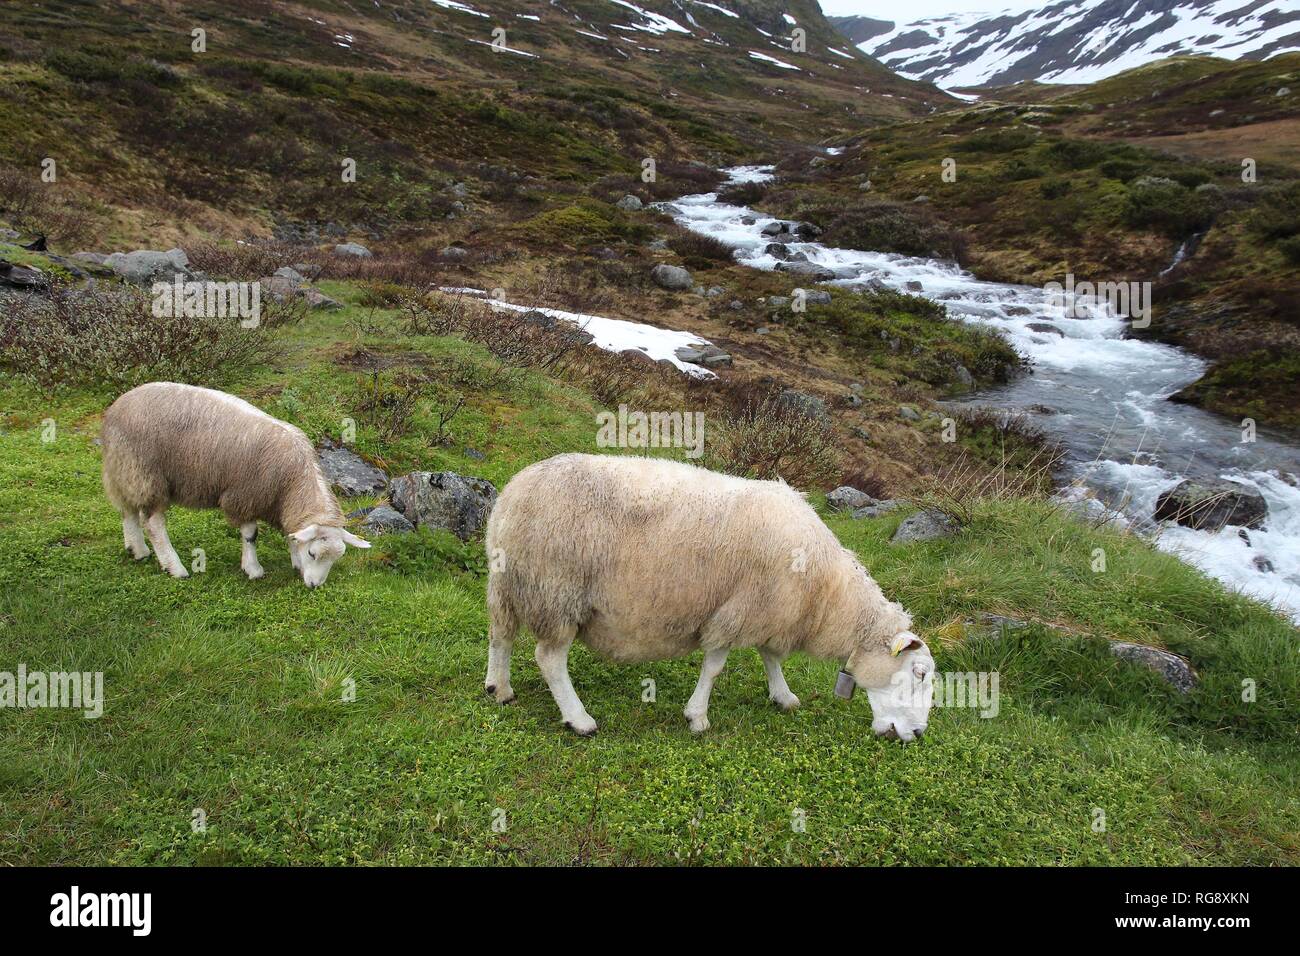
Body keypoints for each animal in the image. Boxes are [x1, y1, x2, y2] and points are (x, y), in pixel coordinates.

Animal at [101, 382, 369, 587]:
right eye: (313, 553)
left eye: (335, 559)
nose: (314, 586)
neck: (291, 482)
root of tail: (118, 406)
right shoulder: (245, 496)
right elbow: (250, 535)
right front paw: (253, 568)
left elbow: (290, 534)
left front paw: (294, 560)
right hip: (146, 474)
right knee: (153, 523)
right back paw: (175, 567)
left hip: (125, 472)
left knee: (128, 511)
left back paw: (137, 550)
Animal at [484, 453, 934, 739]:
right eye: (919, 673)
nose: (916, 733)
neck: (826, 594)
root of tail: (511, 496)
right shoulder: (737, 611)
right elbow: (716, 667)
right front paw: (697, 717)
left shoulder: (769, 612)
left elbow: (771, 657)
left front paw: (783, 695)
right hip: (555, 591)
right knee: (549, 658)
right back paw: (579, 719)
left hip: (508, 585)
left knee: (500, 636)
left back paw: (499, 689)